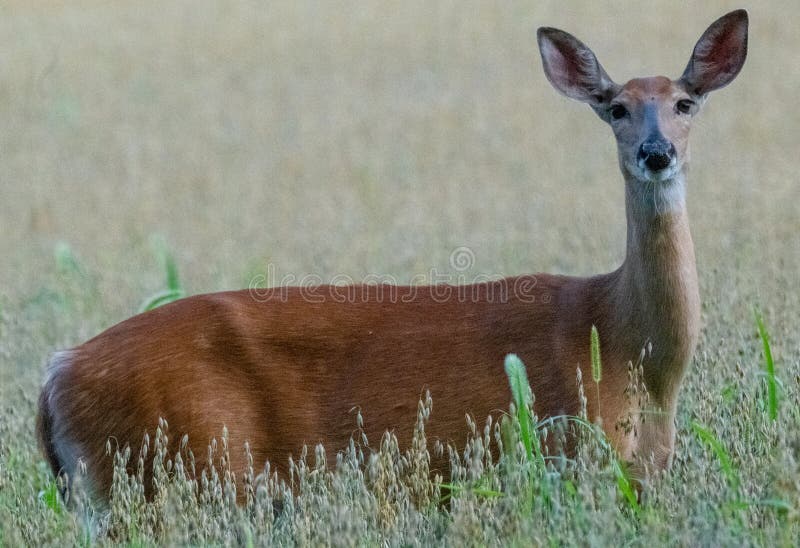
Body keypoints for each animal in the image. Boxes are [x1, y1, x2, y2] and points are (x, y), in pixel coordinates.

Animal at [37, 10, 748, 503]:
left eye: (685, 103)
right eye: (616, 107)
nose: (657, 152)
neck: (626, 343)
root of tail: (54, 377)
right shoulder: (574, 451)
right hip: (177, 472)